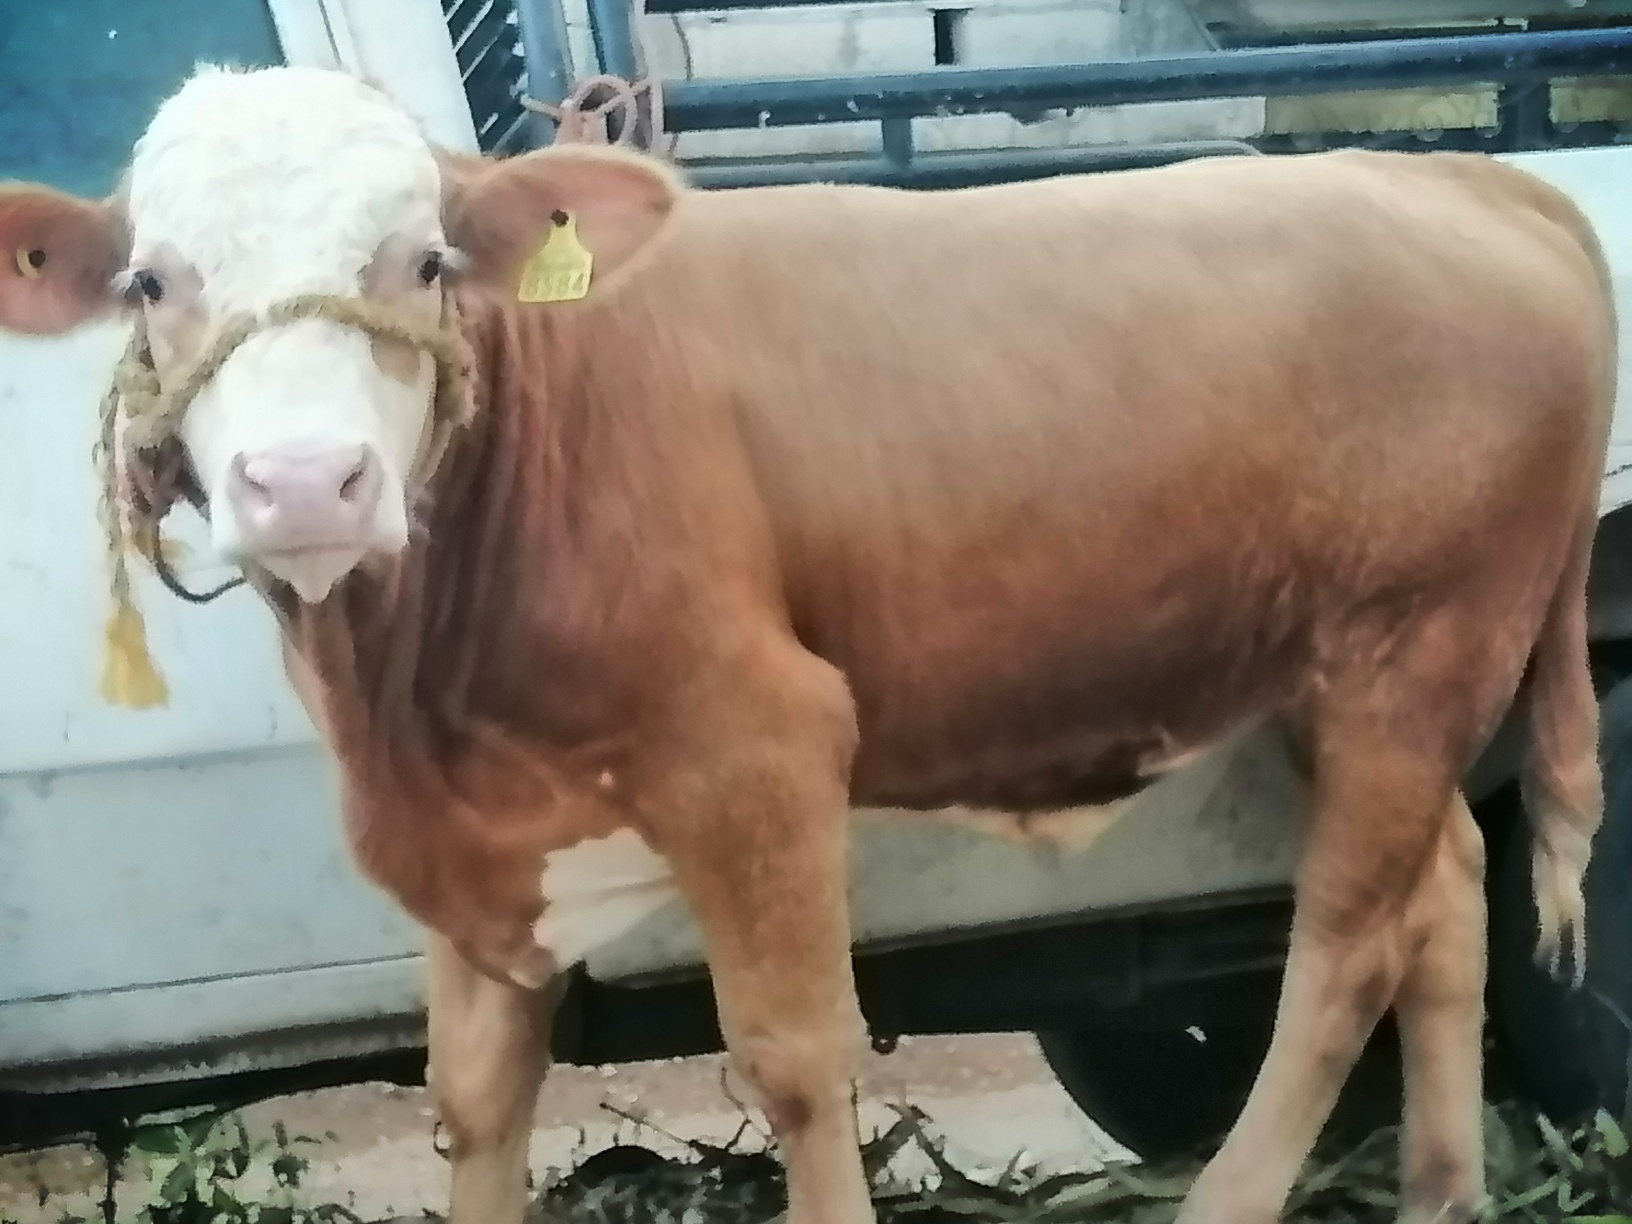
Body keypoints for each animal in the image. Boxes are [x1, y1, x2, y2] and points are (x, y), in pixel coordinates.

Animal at [0, 63, 1615, 1224]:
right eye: (150, 281)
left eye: (429, 259)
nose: (304, 483)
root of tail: (1454, 176)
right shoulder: (471, 832)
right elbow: (475, 1092)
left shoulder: (760, 746)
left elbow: (793, 1060)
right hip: (1338, 681)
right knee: (1442, 888)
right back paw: (1444, 1192)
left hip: (1421, 645)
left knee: (1344, 945)